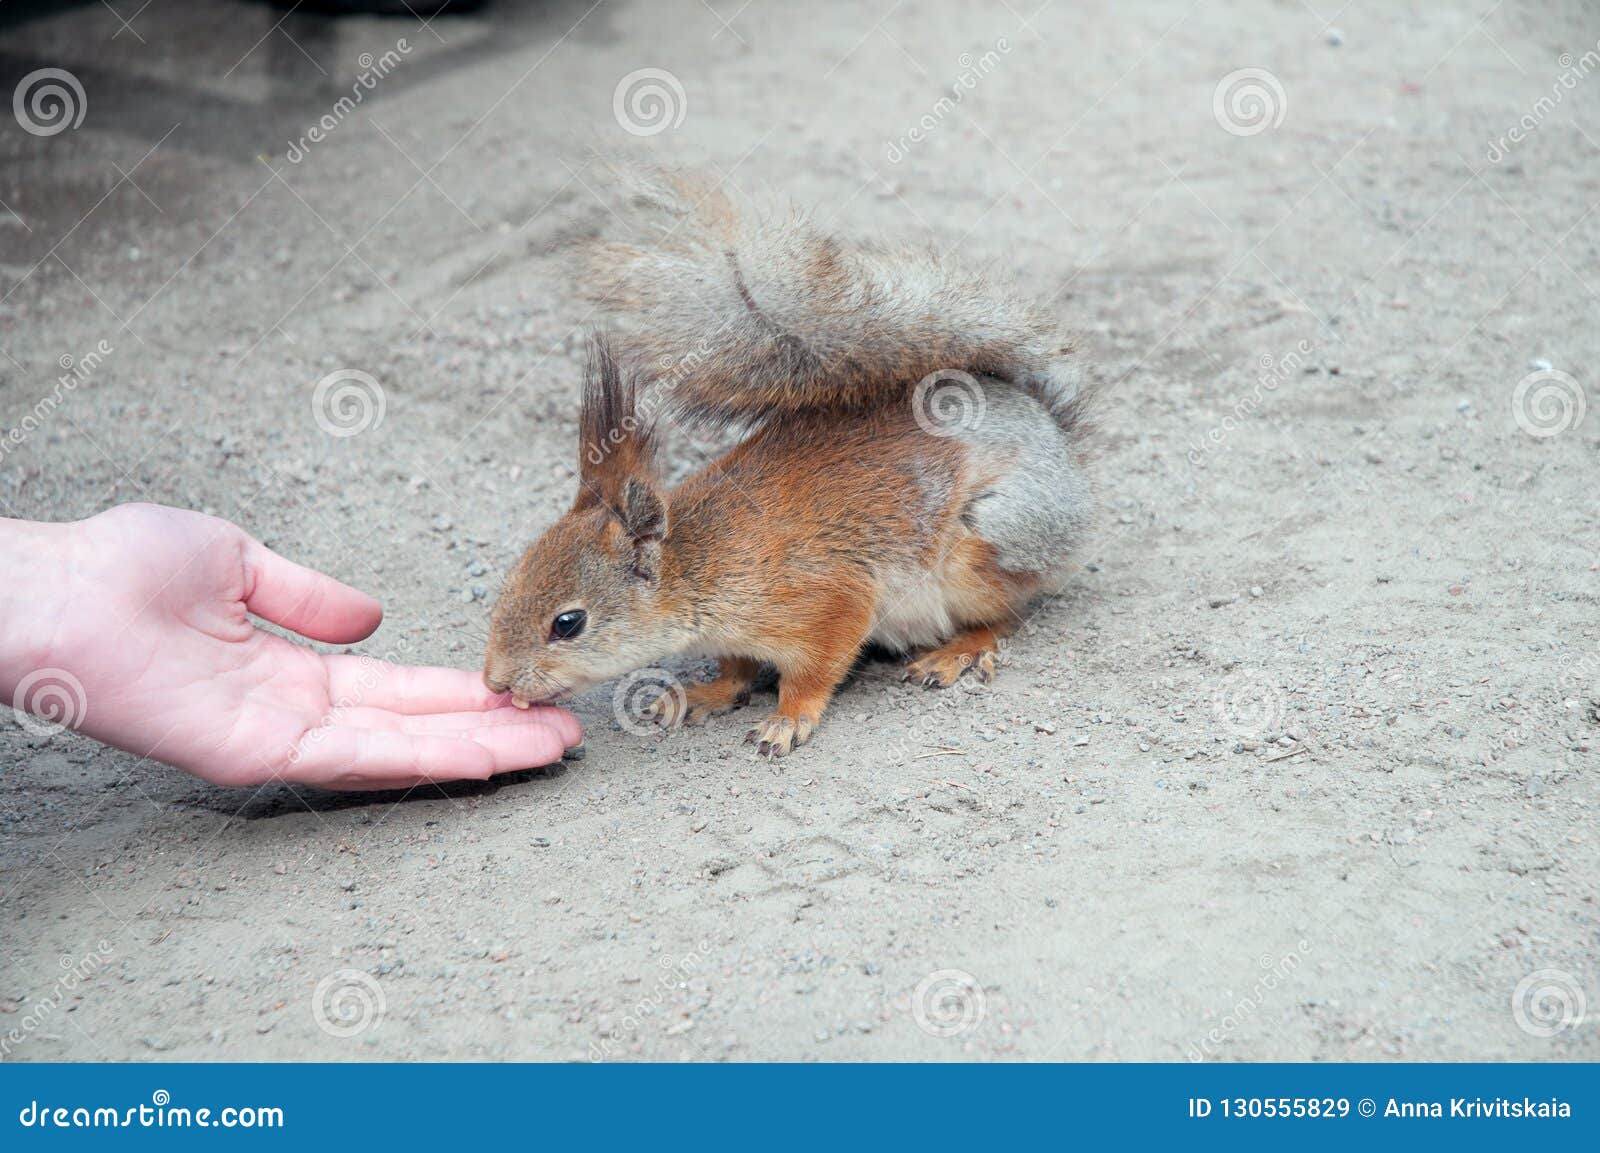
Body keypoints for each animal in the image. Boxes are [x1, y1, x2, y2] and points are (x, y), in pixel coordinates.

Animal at [483, 173, 1093, 756]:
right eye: (508, 582)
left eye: (568, 623)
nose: (495, 683)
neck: (700, 565)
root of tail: (1060, 449)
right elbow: (737, 668)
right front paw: (705, 693)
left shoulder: (827, 597)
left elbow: (814, 669)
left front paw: (788, 719)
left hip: (986, 544)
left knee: (1009, 613)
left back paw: (960, 650)